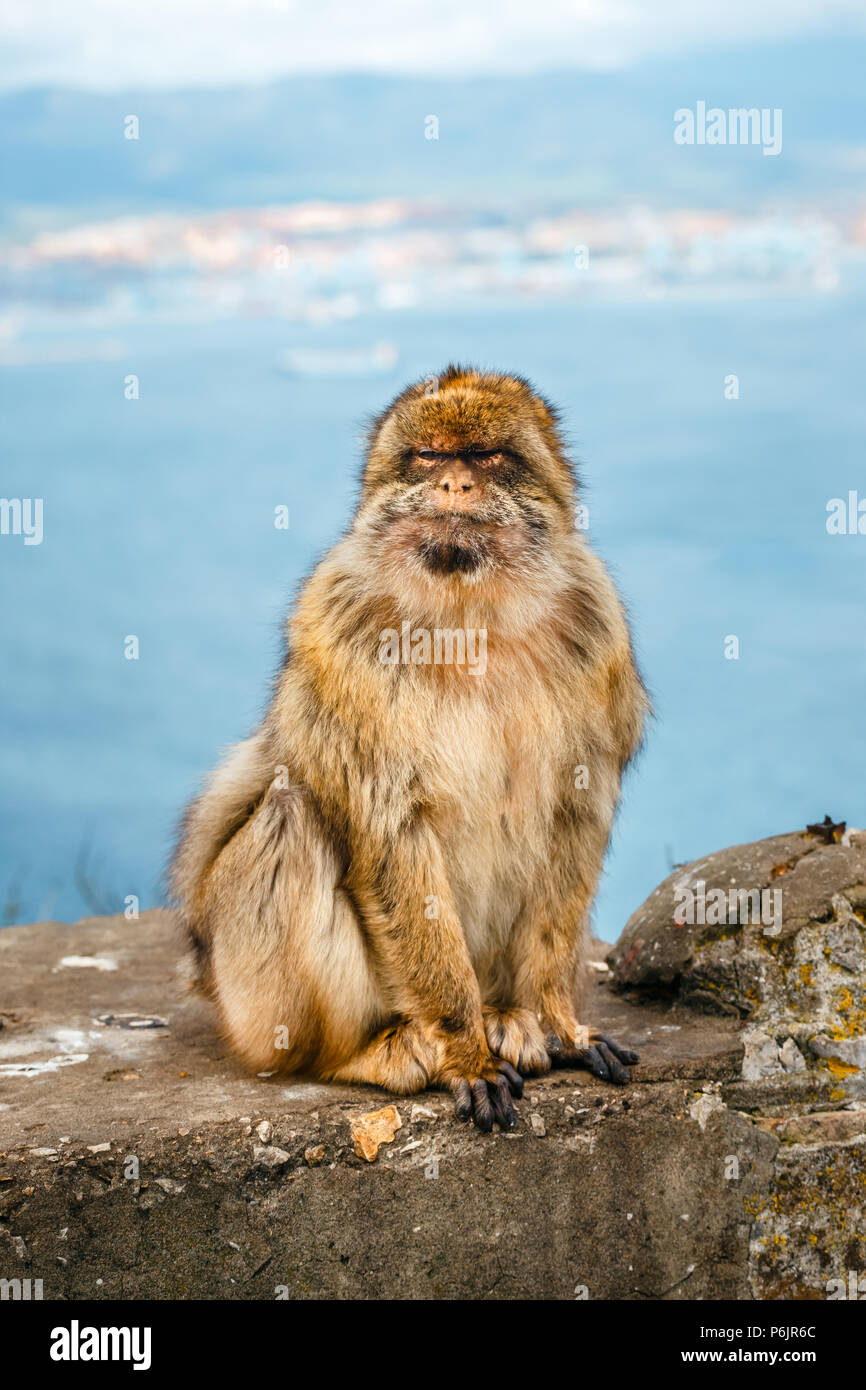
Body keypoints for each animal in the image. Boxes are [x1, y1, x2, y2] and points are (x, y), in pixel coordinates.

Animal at [170, 365, 649, 1131]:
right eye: (428, 456)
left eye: (484, 455)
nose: (453, 484)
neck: (470, 611)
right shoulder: (338, 630)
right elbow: (391, 834)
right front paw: (464, 1053)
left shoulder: (597, 629)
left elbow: (575, 821)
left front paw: (556, 1022)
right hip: (251, 1005)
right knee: (290, 817)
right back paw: (365, 1053)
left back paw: (506, 1015)